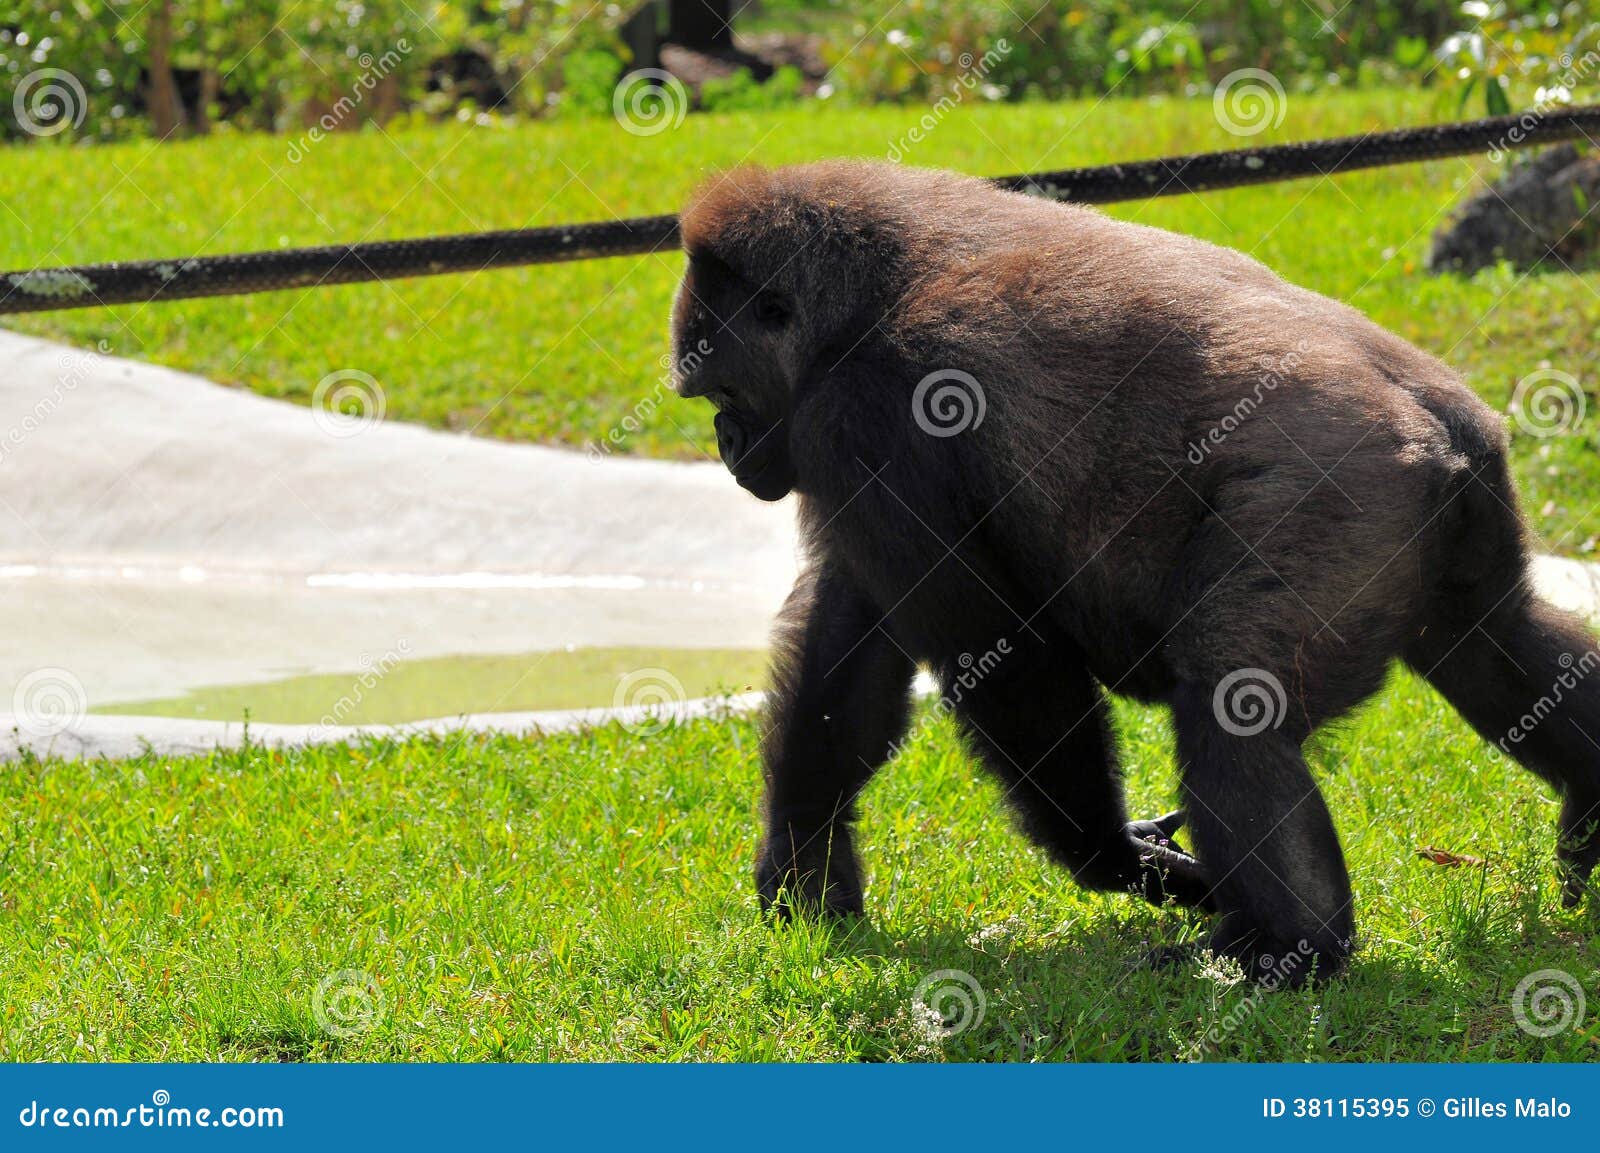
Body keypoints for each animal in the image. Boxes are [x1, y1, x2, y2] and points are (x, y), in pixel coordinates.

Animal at [669, 159, 1600, 984]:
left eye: (721, 392)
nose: (727, 445)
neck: (858, 297)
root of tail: (1434, 420)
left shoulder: (857, 415)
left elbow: (1000, 651)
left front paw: (1113, 857)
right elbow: (850, 650)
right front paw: (803, 857)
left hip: (1347, 492)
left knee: (1232, 699)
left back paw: (1291, 949)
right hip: (1469, 504)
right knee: (1497, 644)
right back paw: (1588, 812)